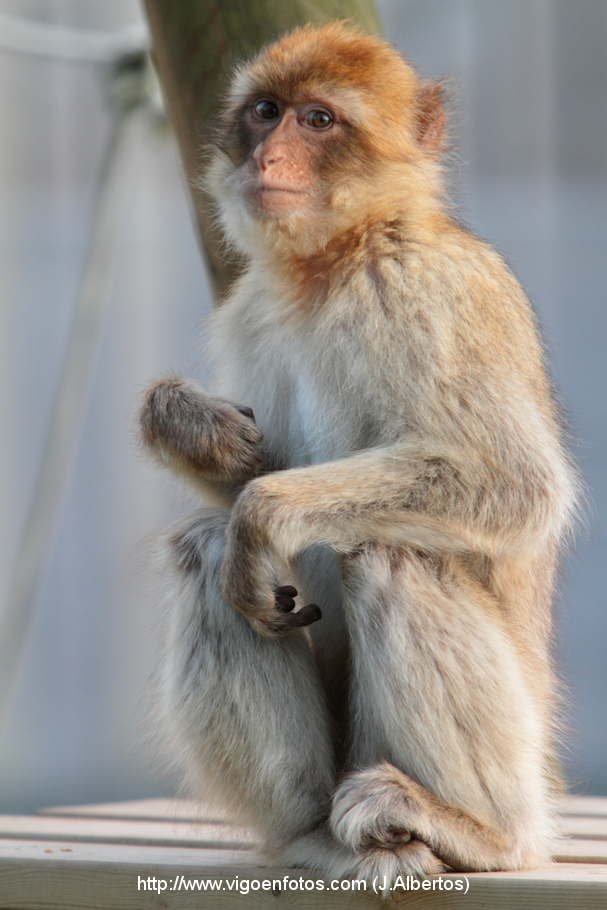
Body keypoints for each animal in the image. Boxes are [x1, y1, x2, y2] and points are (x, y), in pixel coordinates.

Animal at [139, 22, 579, 887]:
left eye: (317, 121)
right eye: (265, 111)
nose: (268, 156)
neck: (334, 262)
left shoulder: (426, 287)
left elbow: (514, 484)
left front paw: (263, 512)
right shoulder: (251, 309)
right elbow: (236, 484)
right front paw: (182, 421)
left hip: (509, 752)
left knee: (389, 552)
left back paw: (480, 834)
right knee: (206, 551)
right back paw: (310, 829)